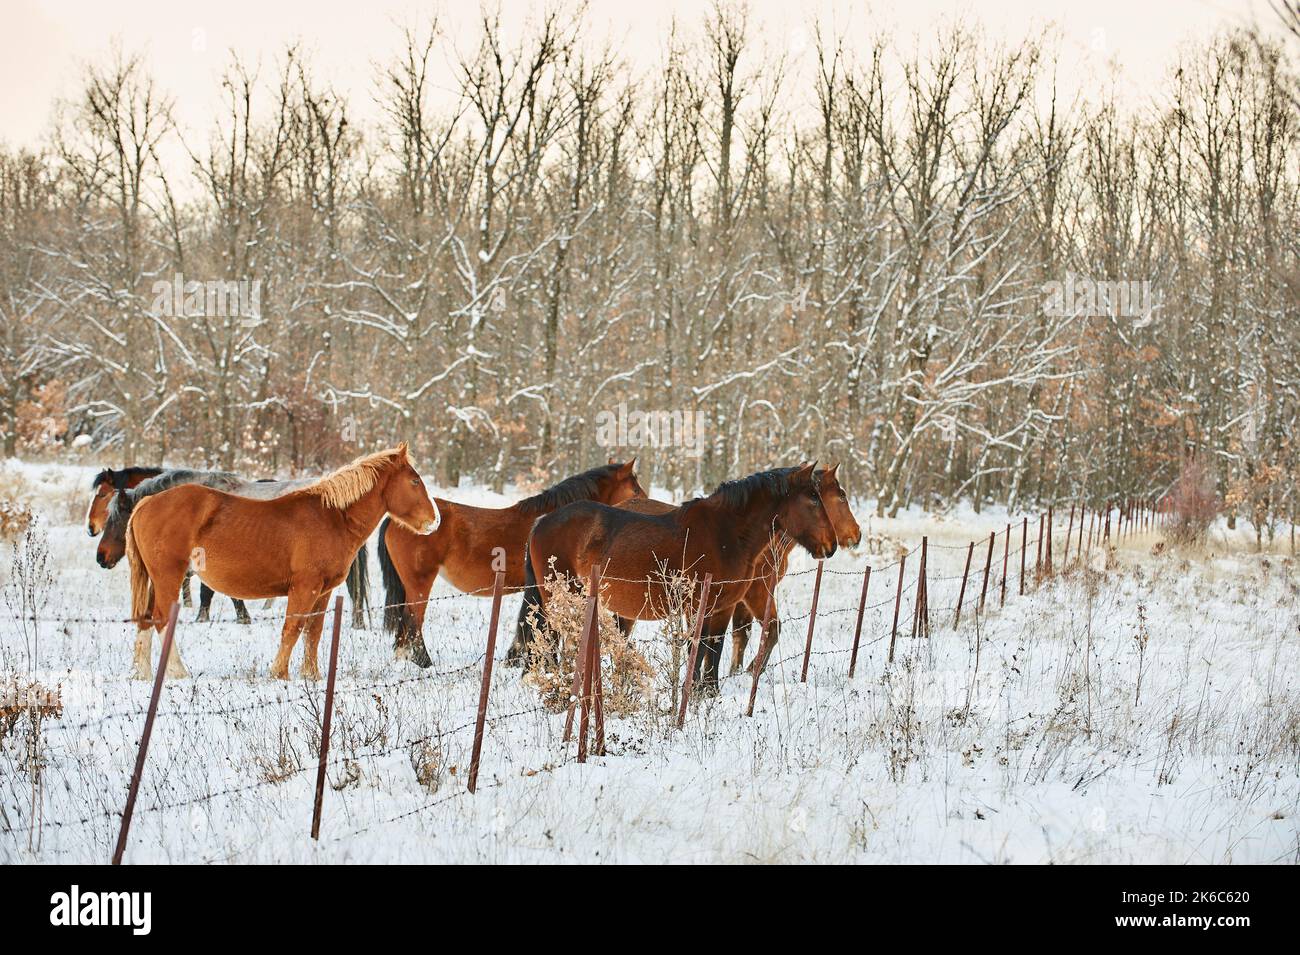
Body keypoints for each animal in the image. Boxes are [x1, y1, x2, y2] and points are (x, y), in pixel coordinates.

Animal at [124, 444, 439, 681]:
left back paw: (143, 673)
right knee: (162, 619)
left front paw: (311, 676)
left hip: (156, 580)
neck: (333, 517)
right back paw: (178, 671)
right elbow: (293, 628)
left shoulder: (323, 592)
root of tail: (146, 503)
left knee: (147, 618)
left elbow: (313, 632)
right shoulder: (304, 587)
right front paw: (280, 674)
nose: (434, 521)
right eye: (414, 481)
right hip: (169, 576)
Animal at [508, 463, 838, 693]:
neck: (725, 534)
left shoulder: (722, 608)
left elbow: (713, 648)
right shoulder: (697, 607)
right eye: (812, 499)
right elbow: (698, 649)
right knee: (551, 639)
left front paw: (708, 694)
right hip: (561, 598)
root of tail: (542, 521)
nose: (831, 545)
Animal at [619, 464, 862, 675]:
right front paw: (748, 670)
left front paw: (733, 672)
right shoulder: (756, 591)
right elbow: (764, 630)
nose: (856, 535)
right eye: (841, 497)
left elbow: (737, 635)